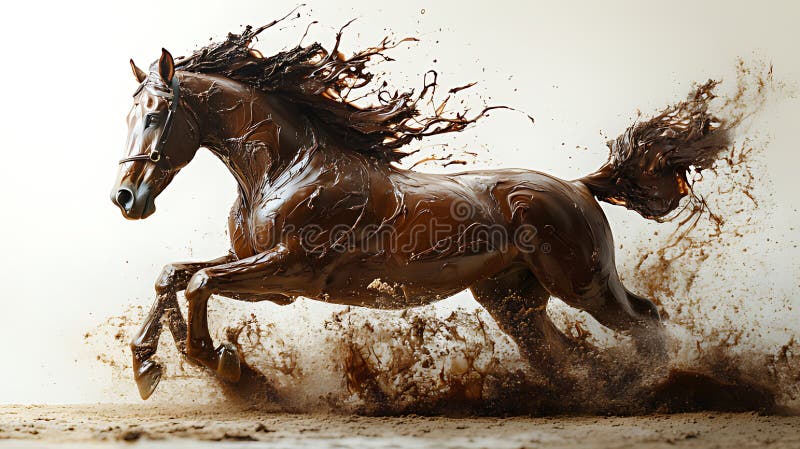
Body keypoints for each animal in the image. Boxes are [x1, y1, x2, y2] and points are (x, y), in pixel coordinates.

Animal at [111, 22, 732, 400]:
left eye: (156, 114)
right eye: (129, 114)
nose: (125, 198)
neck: (283, 169)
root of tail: (577, 188)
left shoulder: (290, 270)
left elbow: (198, 284)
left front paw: (218, 361)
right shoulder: (269, 278)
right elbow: (175, 275)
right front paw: (150, 364)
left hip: (584, 284)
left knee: (645, 321)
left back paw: (651, 391)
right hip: (513, 300)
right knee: (562, 351)